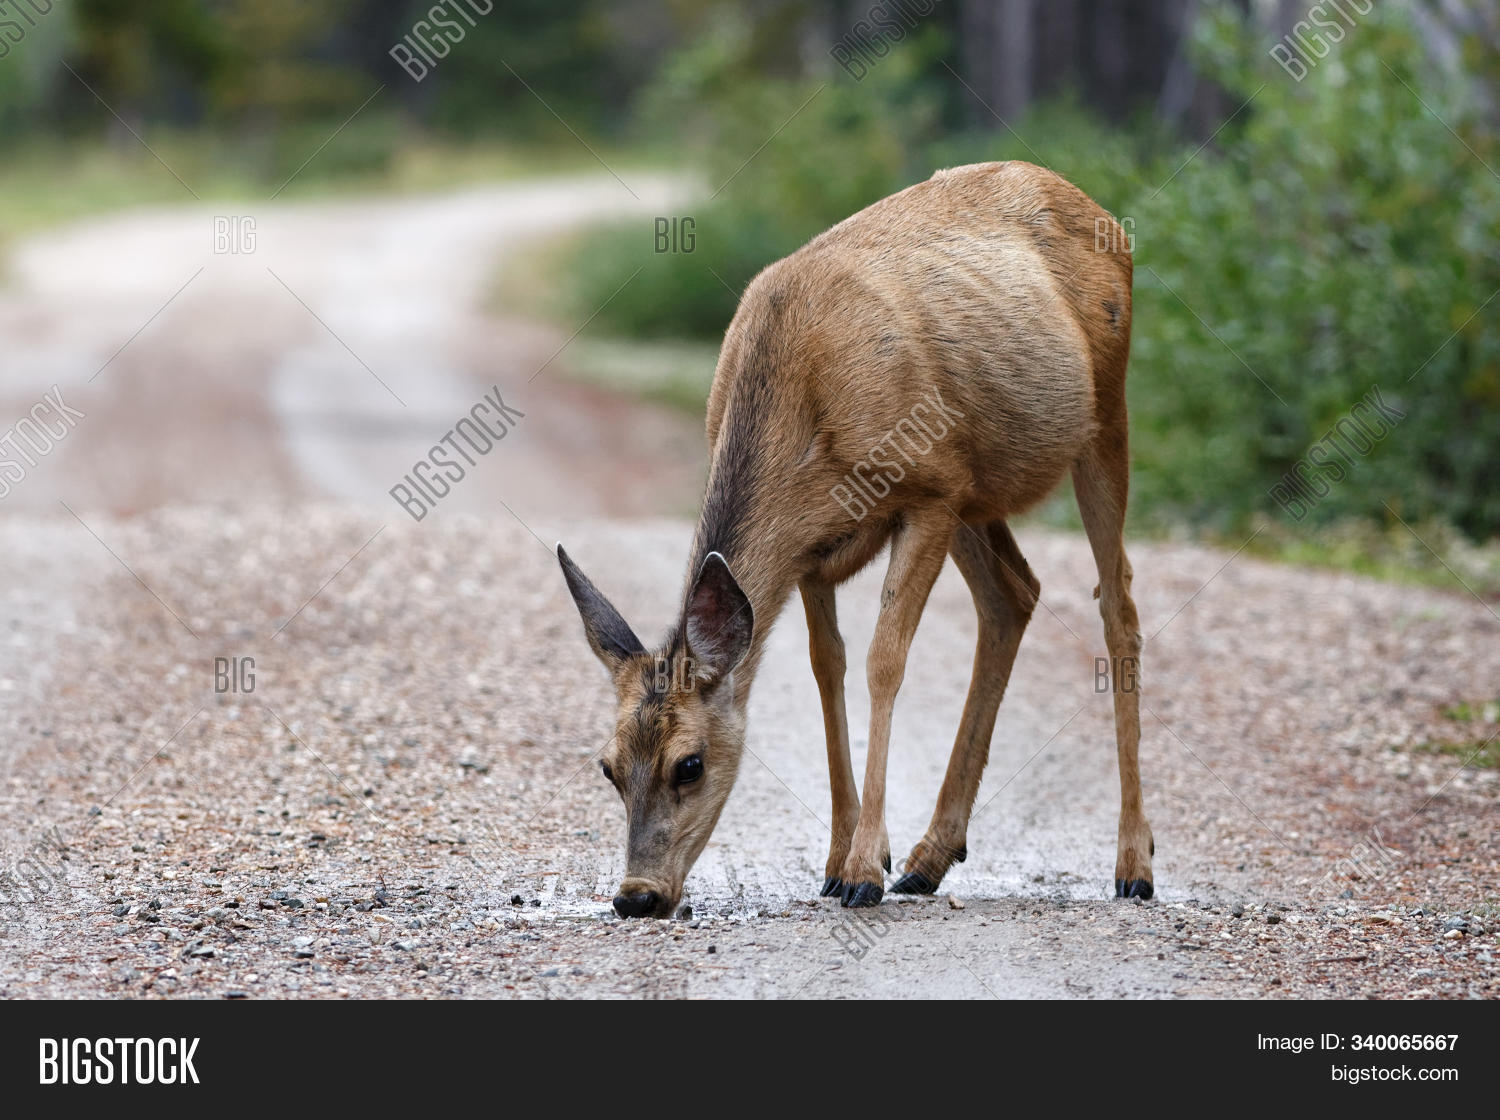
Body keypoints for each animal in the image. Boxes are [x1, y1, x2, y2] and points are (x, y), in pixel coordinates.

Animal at [557, 161, 1152, 918]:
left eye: (688, 764)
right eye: (607, 766)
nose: (636, 895)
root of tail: (1103, 215)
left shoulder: (929, 491)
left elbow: (883, 660)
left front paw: (865, 868)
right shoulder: (813, 550)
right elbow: (826, 666)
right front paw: (839, 860)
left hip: (1102, 418)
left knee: (1117, 605)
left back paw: (1134, 863)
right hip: (978, 484)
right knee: (1014, 593)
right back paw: (929, 858)